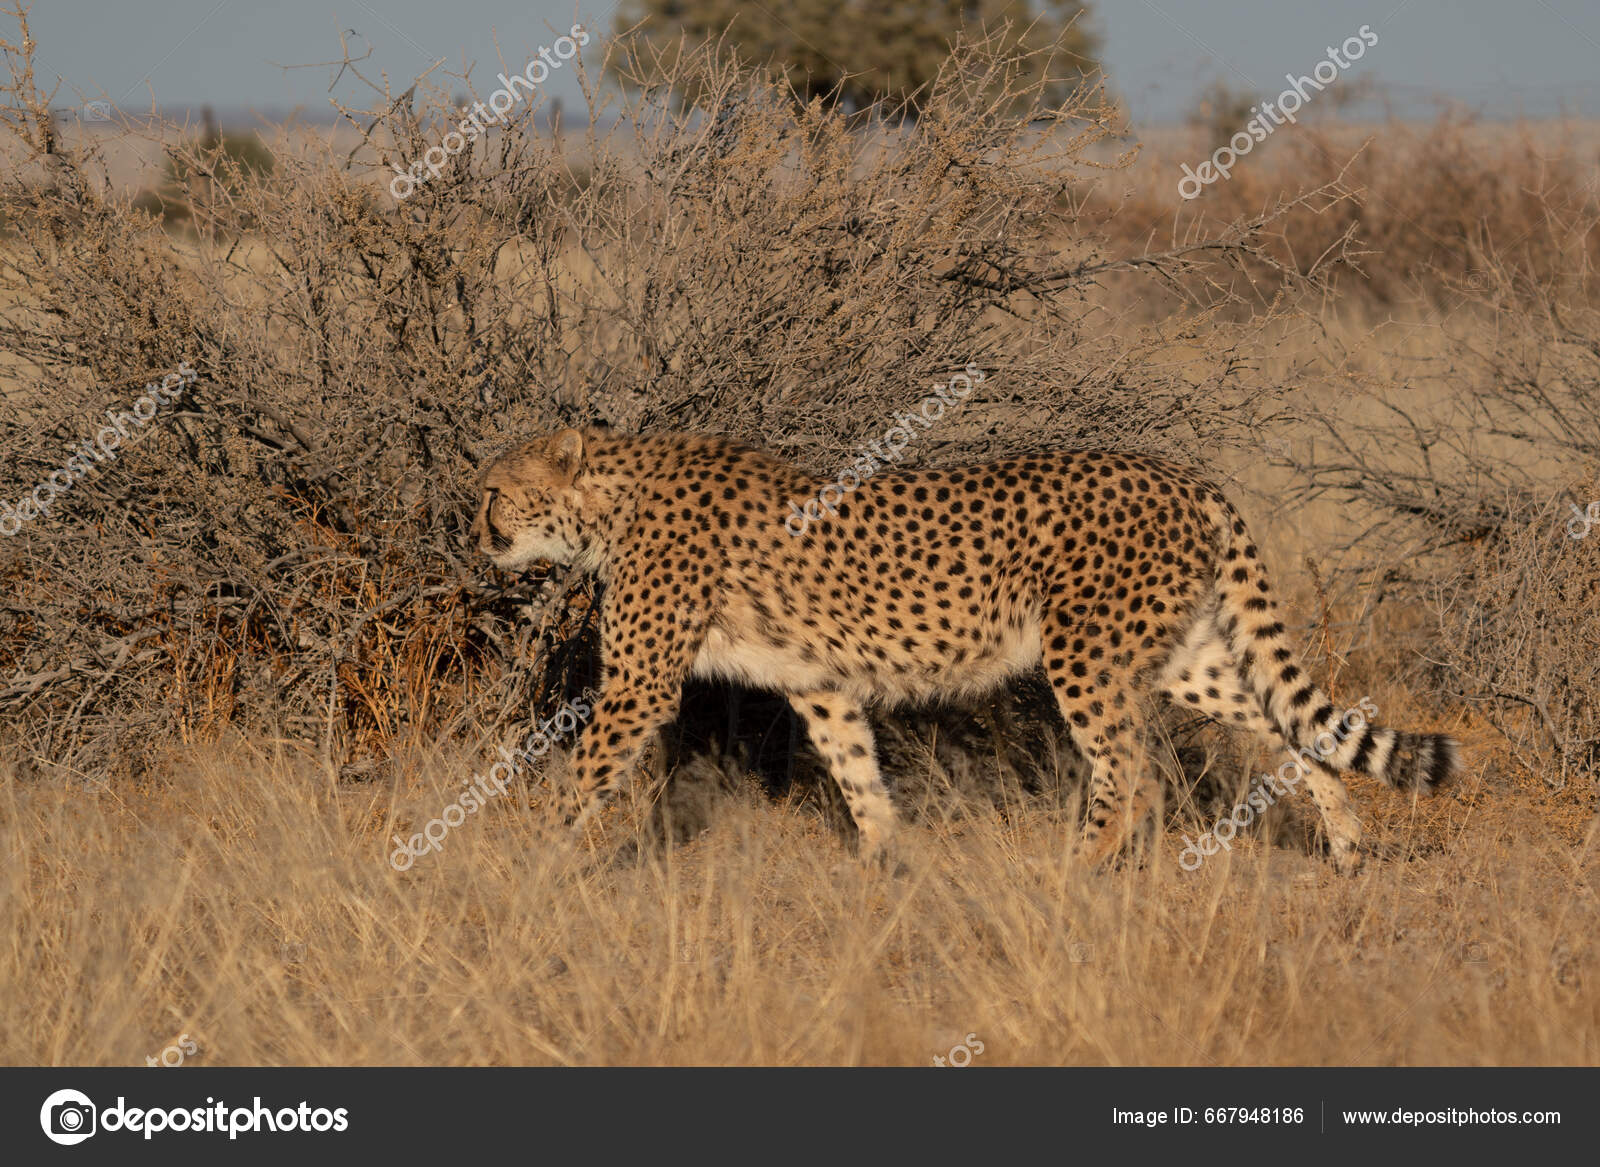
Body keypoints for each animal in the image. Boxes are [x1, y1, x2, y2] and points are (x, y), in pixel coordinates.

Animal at [469, 427, 1460, 873]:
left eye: (494, 490)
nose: (475, 530)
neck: (613, 498)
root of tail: (1182, 473)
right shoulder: (822, 681)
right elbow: (858, 772)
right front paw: (887, 868)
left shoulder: (639, 683)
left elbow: (581, 774)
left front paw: (531, 861)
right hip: (1182, 654)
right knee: (1293, 730)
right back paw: (1346, 844)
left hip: (1086, 652)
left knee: (1130, 763)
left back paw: (1083, 869)